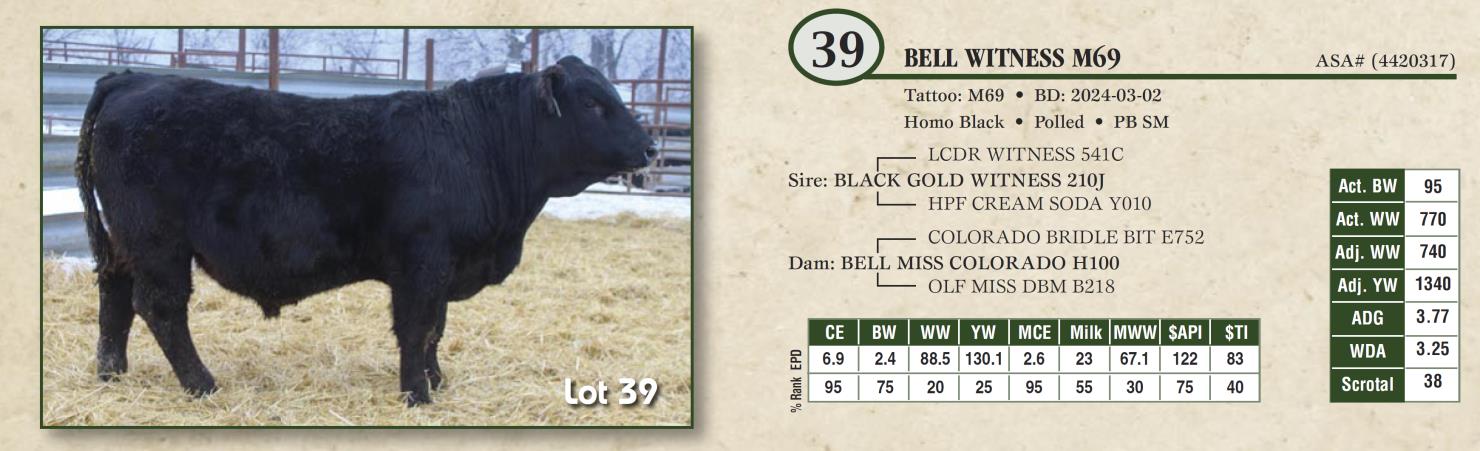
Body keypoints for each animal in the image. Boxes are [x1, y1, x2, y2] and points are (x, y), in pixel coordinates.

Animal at [74, 56, 655, 406]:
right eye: (593, 103)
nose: (650, 147)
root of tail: (131, 78)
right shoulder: (423, 262)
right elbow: (417, 327)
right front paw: (417, 394)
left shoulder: (441, 266)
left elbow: (436, 328)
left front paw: (436, 382)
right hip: (159, 243)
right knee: (161, 308)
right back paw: (202, 385)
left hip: (125, 244)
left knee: (115, 297)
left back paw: (111, 373)